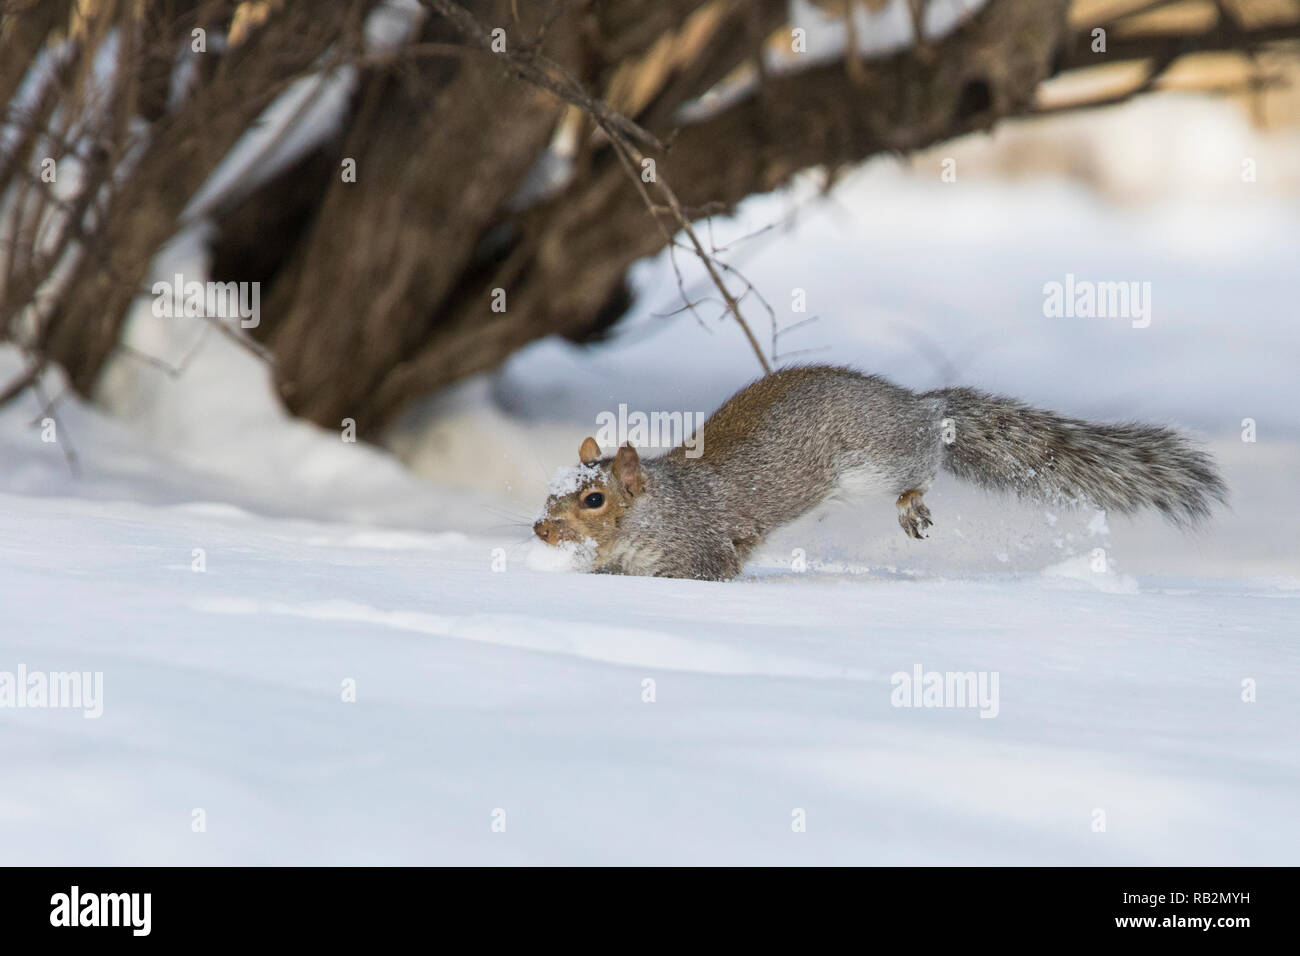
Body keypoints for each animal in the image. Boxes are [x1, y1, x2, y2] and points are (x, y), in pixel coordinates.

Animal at [532, 365, 1226, 581]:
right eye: (551, 491)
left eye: (594, 500)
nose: (540, 529)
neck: (657, 507)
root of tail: (919, 402)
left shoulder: (701, 548)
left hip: (881, 458)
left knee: (926, 460)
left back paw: (913, 498)